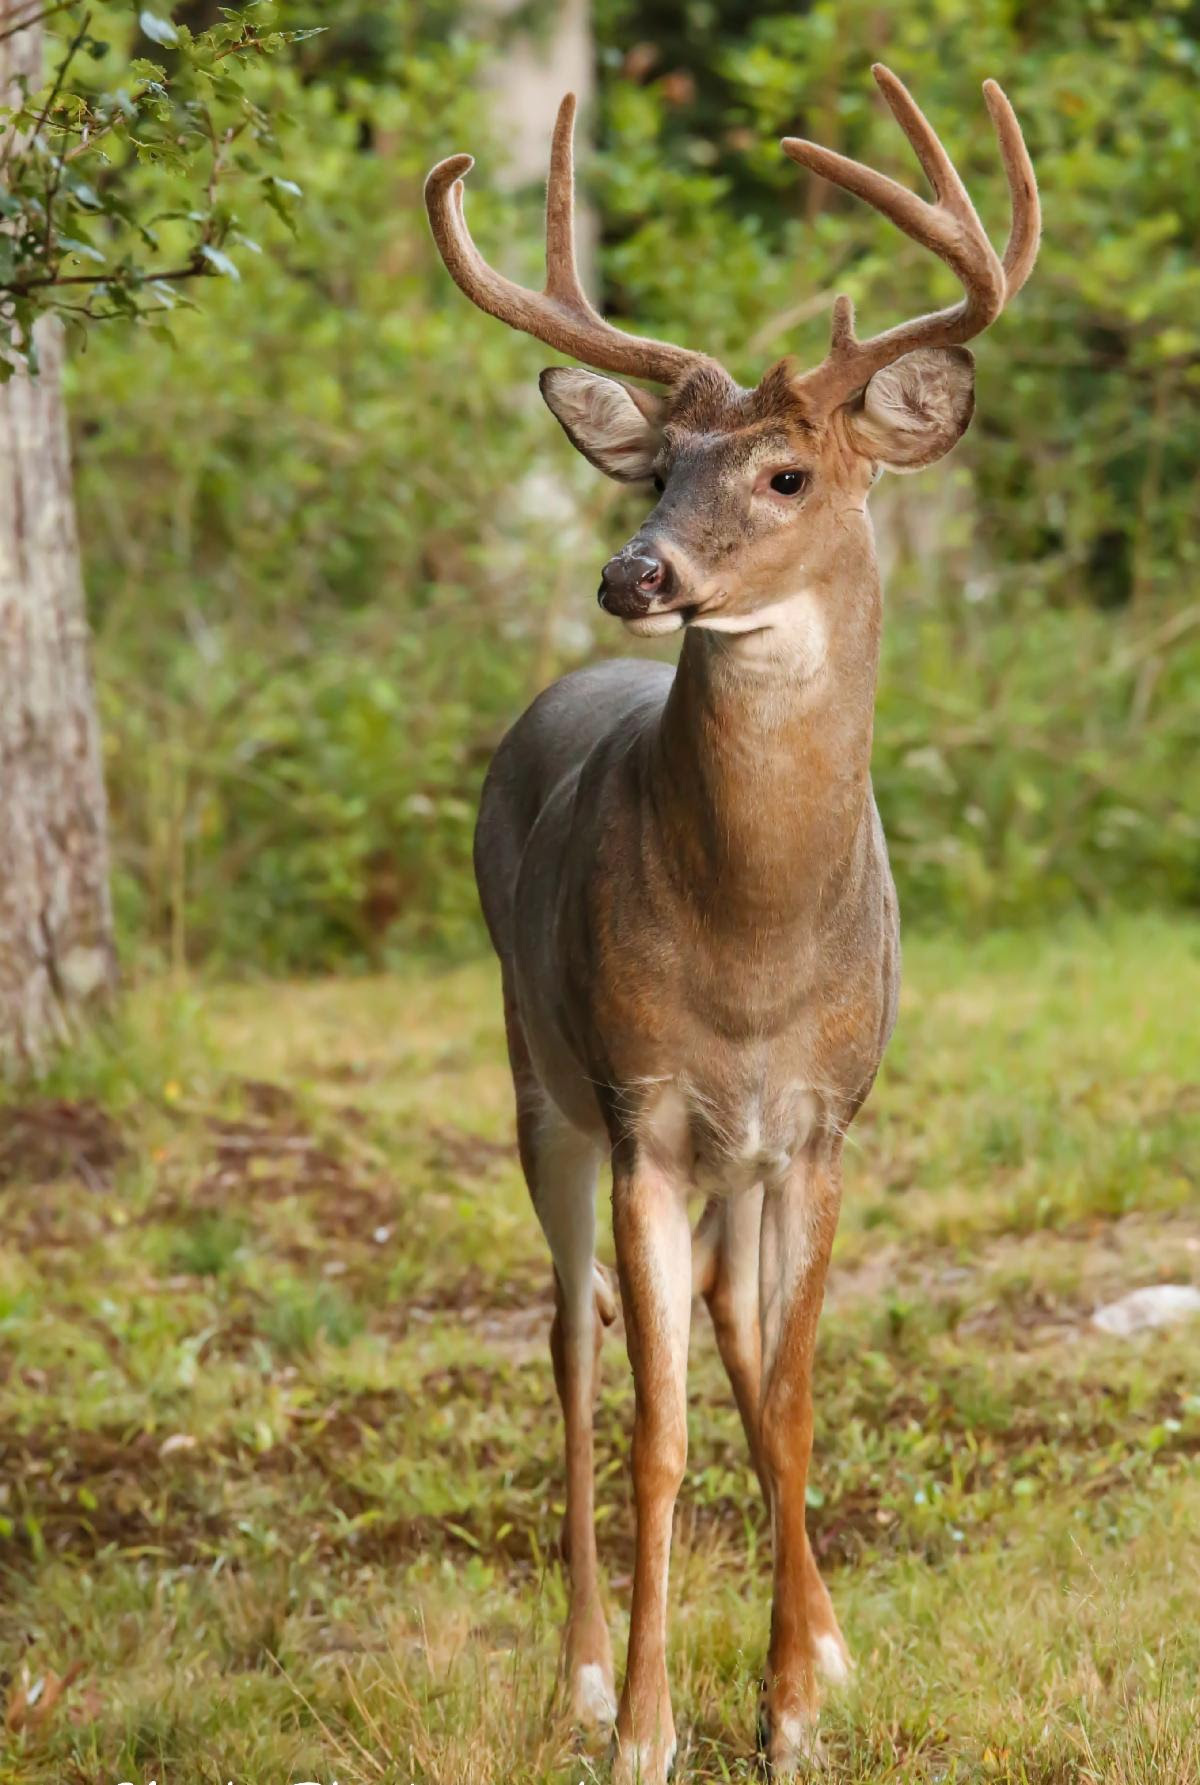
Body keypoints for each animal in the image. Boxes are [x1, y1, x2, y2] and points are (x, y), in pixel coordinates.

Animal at [425, 64, 1038, 1780]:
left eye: (786, 473)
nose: (635, 572)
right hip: (538, 1076)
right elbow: (660, 1426)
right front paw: (646, 1726)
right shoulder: (644, 1109)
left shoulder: (820, 1122)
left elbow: (796, 1395)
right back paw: (575, 1671)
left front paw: (797, 1700)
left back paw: (818, 1644)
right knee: (570, 1344)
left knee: (731, 1331)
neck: (757, 943)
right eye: (655, 472)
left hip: (732, 1155)